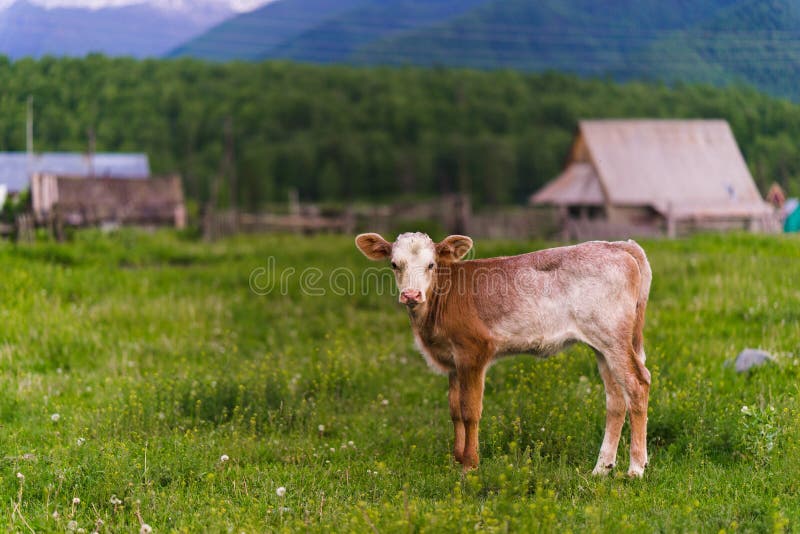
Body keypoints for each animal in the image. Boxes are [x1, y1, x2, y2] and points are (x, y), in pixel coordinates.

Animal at [355, 232, 652, 477]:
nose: (411, 295)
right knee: (616, 399)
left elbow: (470, 410)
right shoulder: (453, 361)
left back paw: (636, 469)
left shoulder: (473, 352)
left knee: (637, 384)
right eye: (395, 264)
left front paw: (470, 465)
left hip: (613, 338)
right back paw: (601, 469)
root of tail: (619, 245)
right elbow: (454, 410)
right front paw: (456, 459)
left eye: (431, 265)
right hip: (602, 345)